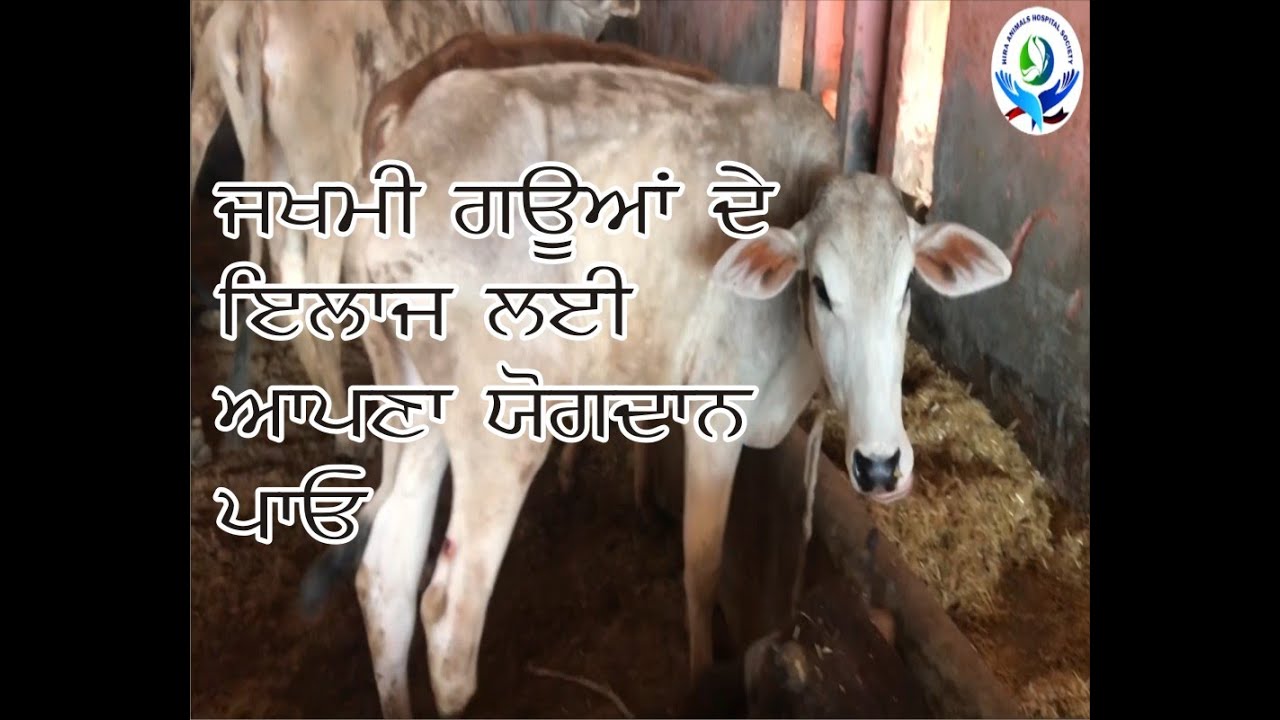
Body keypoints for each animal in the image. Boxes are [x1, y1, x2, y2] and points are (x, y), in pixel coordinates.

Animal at [325, 62, 1013, 718]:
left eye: (907, 286)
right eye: (821, 286)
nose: (878, 466)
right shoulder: (717, 416)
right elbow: (702, 563)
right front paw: (702, 676)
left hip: (415, 406)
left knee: (385, 573)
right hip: (502, 434)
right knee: (449, 625)